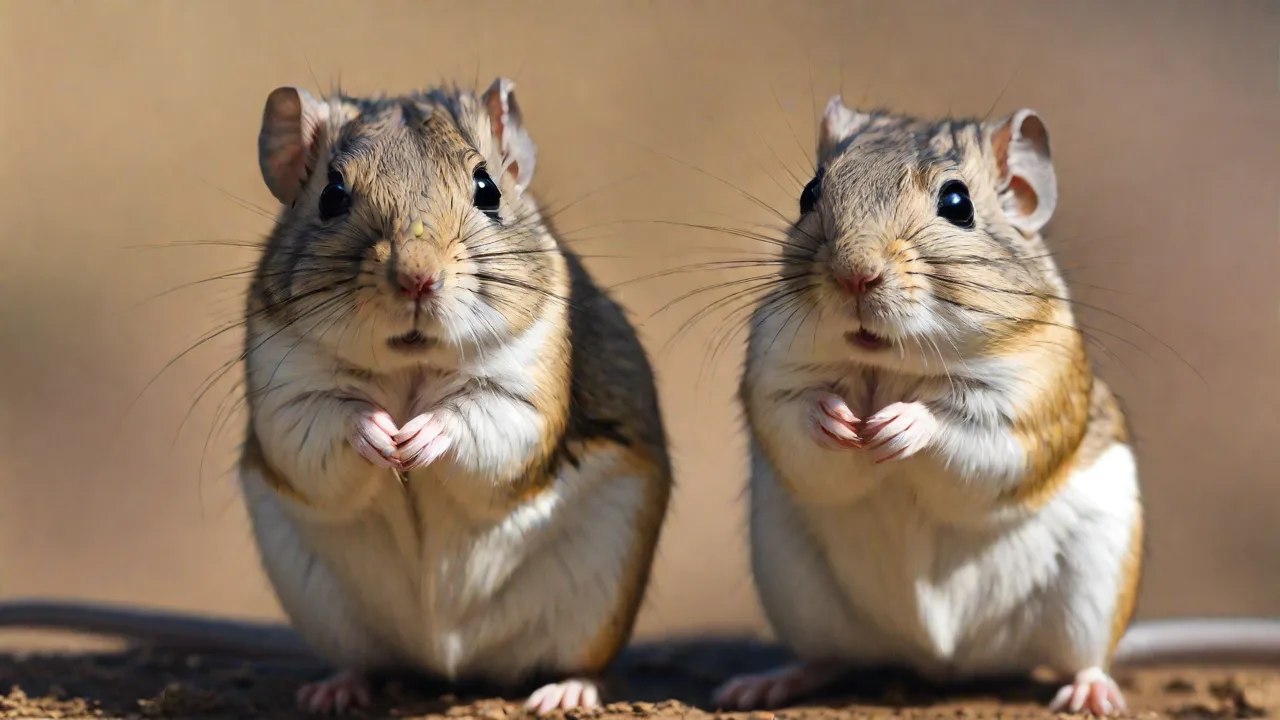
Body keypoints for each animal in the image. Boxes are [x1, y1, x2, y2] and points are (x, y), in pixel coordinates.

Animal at [237, 77, 672, 714]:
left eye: (487, 189)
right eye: (332, 196)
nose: (417, 279)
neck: (412, 365)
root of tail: (450, 665)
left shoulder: (521, 395)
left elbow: (477, 417)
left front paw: (417, 436)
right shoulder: (289, 393)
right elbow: (325, 425)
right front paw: (380, 434)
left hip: (599, 599)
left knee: (582, 663)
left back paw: (563, 693)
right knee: (367, 662)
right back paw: (335, 690)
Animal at [712, 96, 1149, 716]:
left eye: (958, 204)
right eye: (809, 193)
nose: (854, 275)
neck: (892, 363)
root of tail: (944, 660)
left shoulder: (1024, 409)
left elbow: (962, 431)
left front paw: (900, 423)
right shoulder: (773, 378)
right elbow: (801, 424)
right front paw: (835, 418)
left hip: (1094, 585)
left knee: (1083, 658)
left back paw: (1092, 694)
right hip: (796, 589)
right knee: (828, 658)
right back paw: (764, 684)